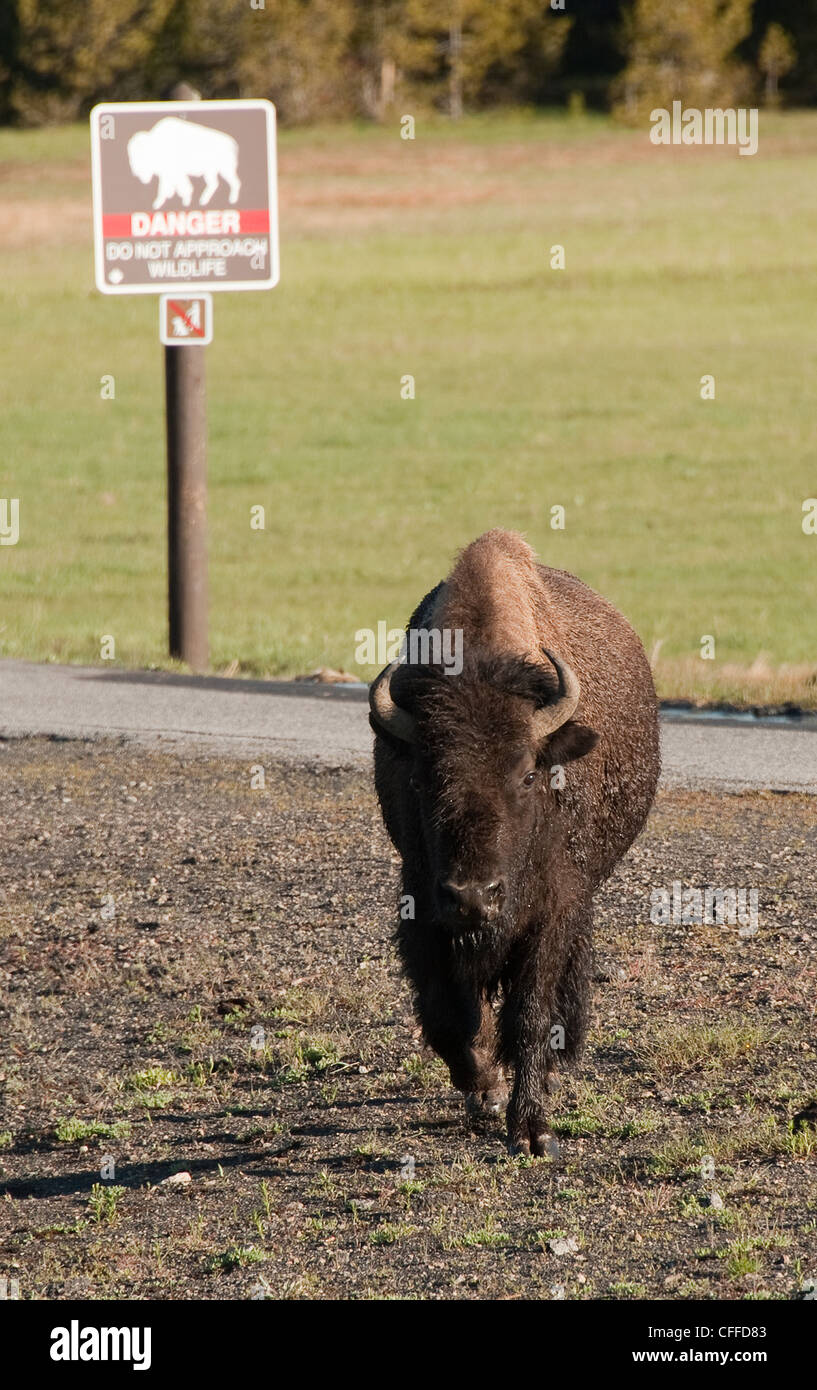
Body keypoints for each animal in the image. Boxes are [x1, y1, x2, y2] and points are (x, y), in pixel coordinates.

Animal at [369, 529, 660, 1155]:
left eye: (528, 775)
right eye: (420, 778)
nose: (474, 896)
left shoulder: (552, 910)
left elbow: (528, 1013)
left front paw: (531, 1130)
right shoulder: (422, 905)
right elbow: (448, 1013)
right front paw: (483, 1086)